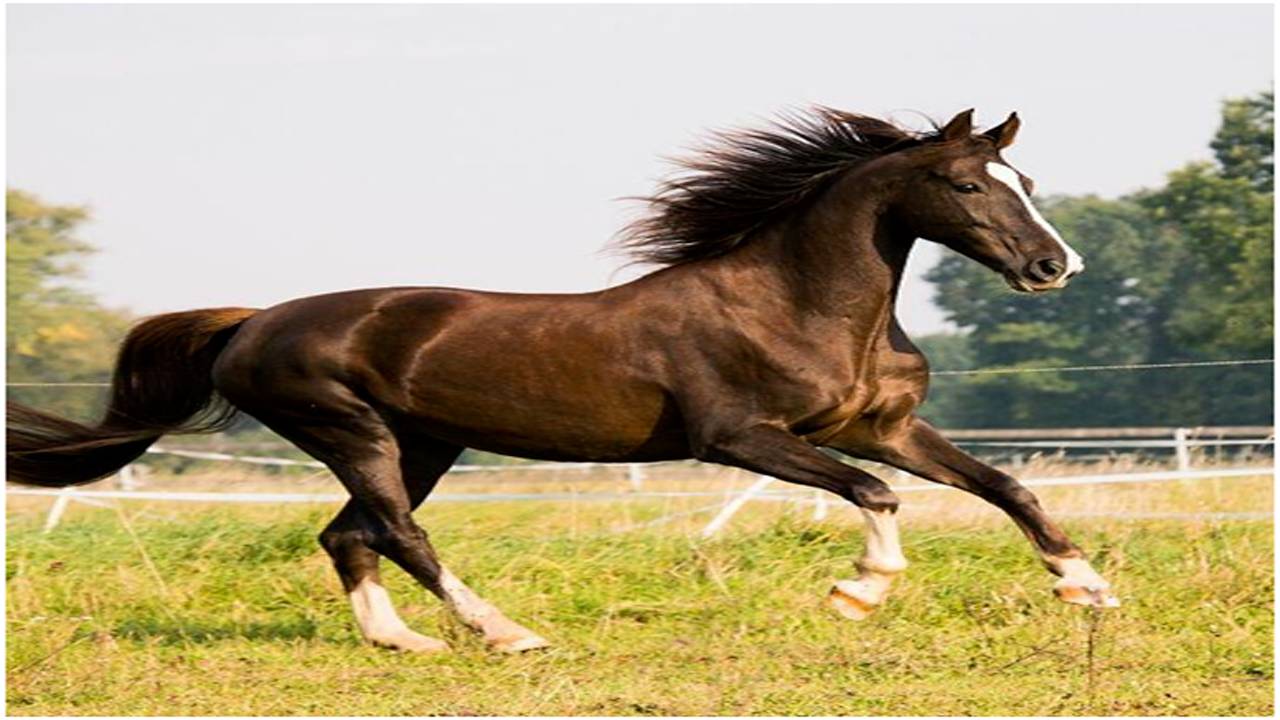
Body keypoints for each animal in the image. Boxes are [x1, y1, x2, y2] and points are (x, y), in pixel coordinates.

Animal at [8, 107, 1116, 654]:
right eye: (965, 184)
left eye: (1025, 182)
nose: (1053, 267)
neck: (794, 302)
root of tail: (250, 323)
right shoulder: (737, 438)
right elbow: (876, 498)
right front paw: (858, 593)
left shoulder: (875, 425)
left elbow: (1004, 485)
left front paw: (1088, 587)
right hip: (351, 431)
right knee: (395, 534)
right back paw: (505, 634)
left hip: (420, 442)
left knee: (348, 536)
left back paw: (402, 646)